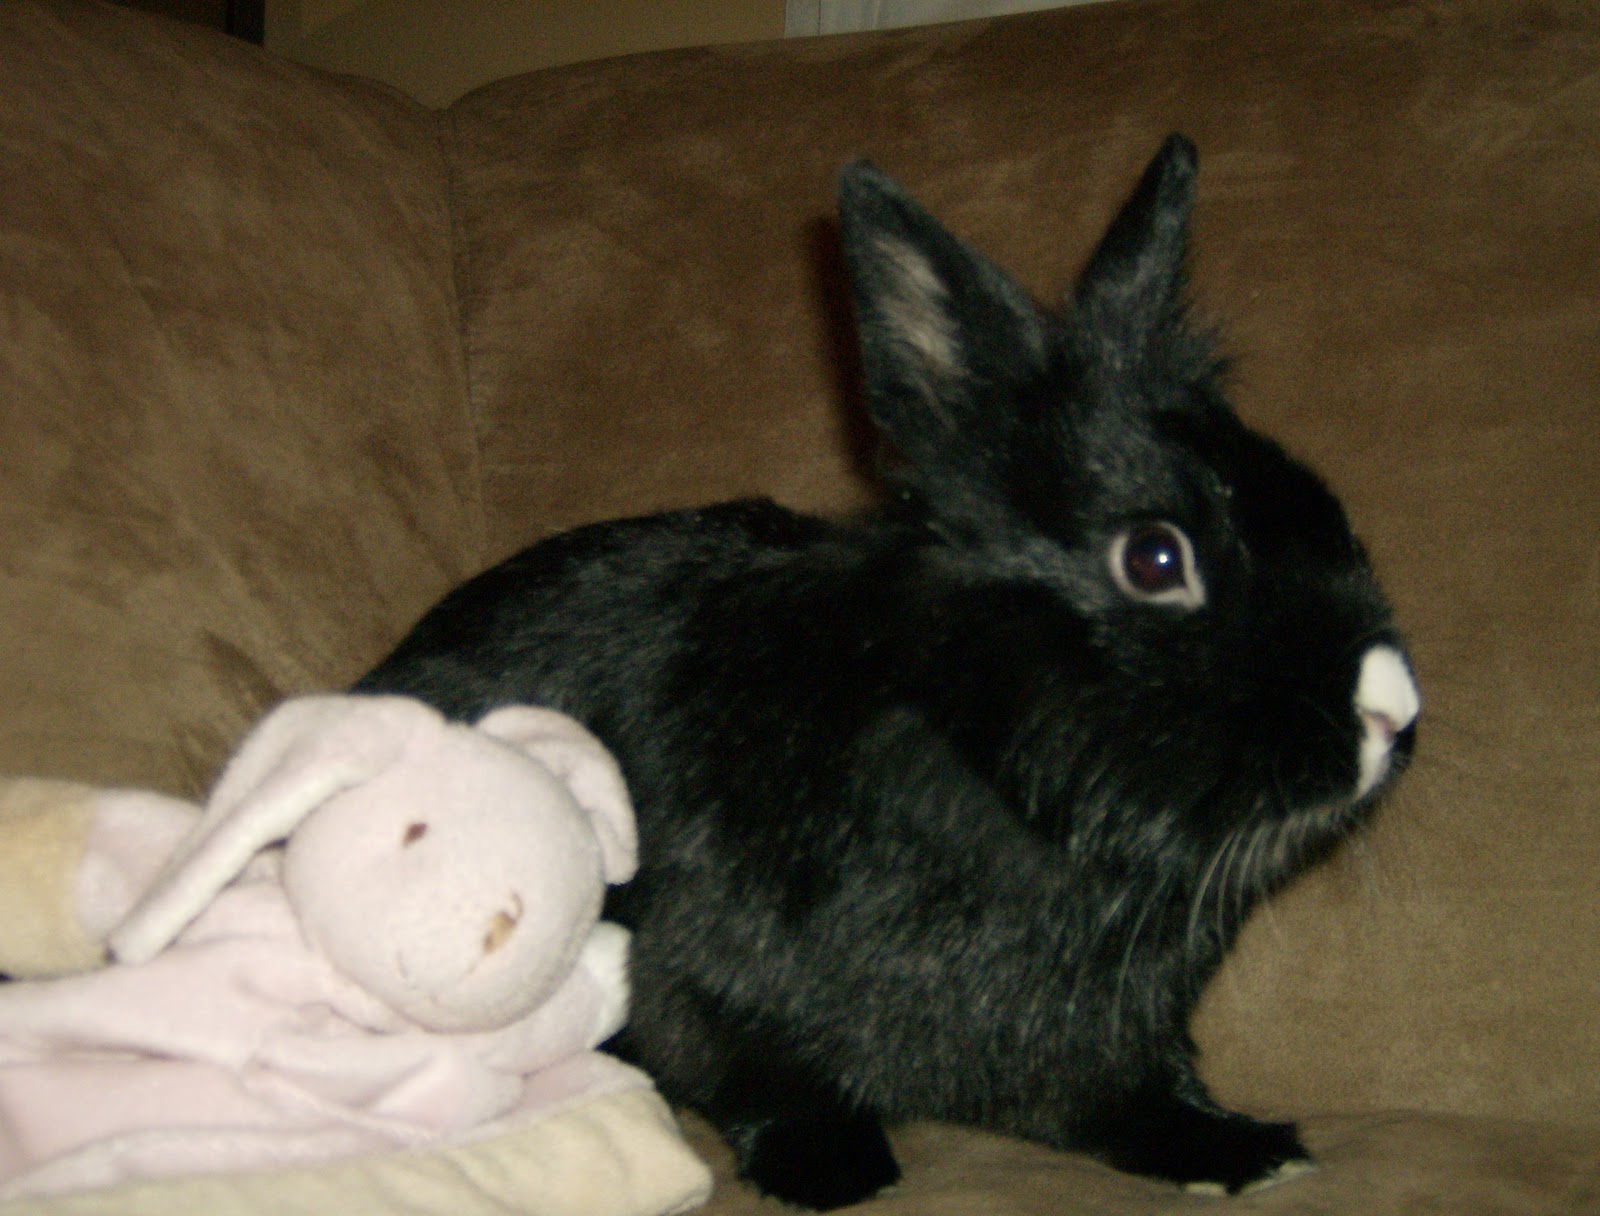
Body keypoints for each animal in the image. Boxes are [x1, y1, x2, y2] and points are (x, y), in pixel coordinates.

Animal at [356, 135, 1420, 1210]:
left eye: (1320, 498)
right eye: (1156, 559)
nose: (1392, 709)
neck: (981, 760)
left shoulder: (1110, 1038)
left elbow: (1130, 1096)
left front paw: (1239, 1150)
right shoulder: (686, 988)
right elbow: (761, 1078)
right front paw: (836, 1168)